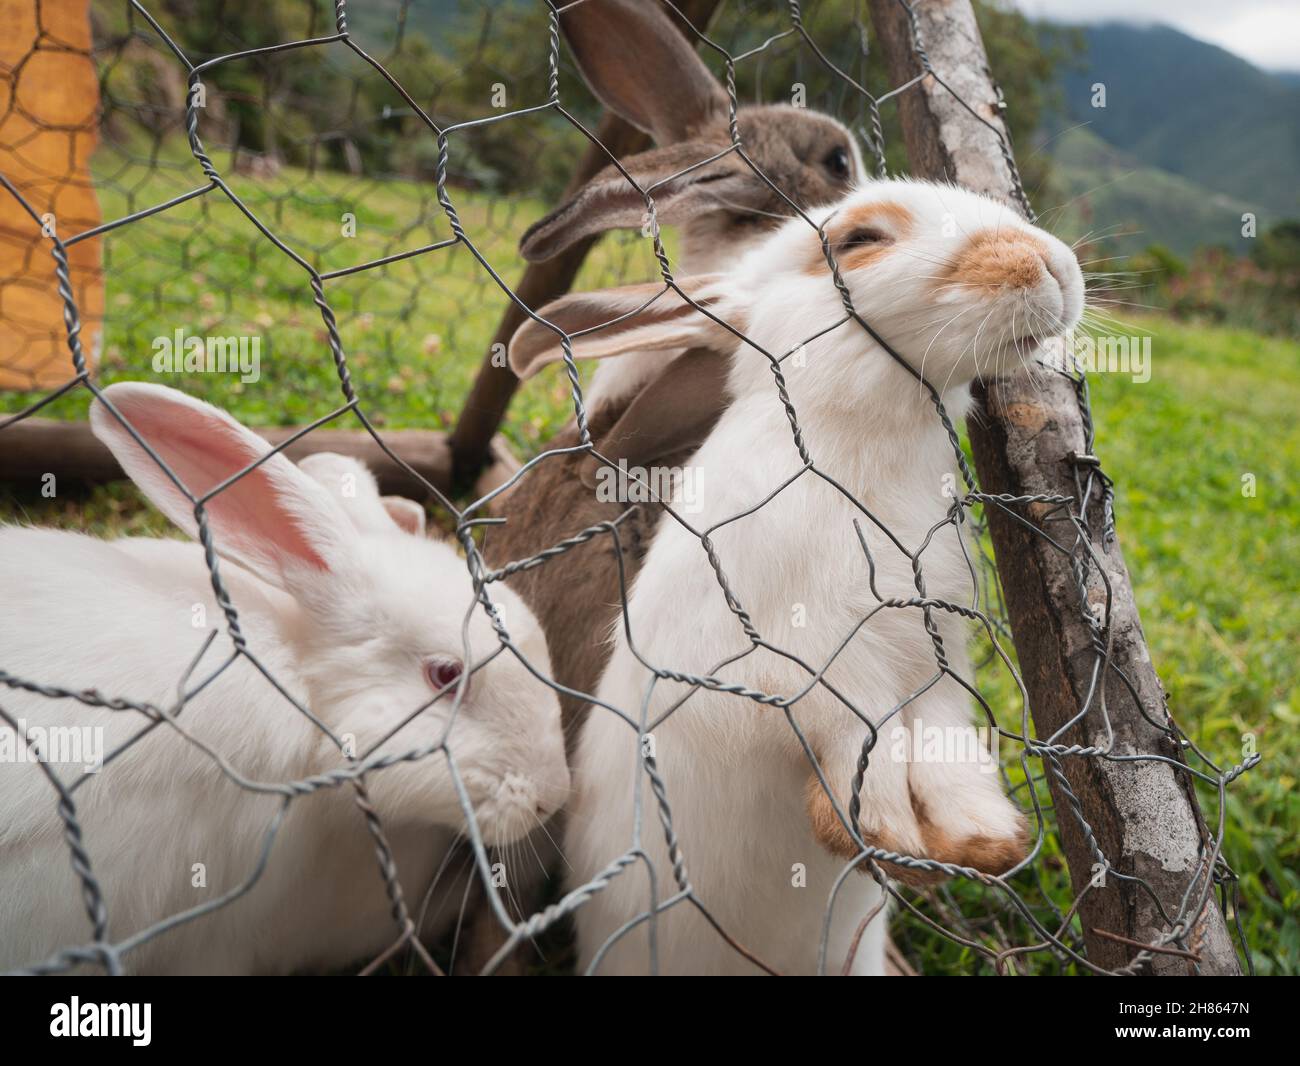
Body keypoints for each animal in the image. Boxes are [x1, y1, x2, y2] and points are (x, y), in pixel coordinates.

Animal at [505, 177, 1087, 975]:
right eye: (860, 239)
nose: (1047, 262)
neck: (861, 436)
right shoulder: (802, 666)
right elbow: (857, 733)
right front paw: (882, 831)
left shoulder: (937, 656)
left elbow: (941, 734)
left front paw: (983, 839)